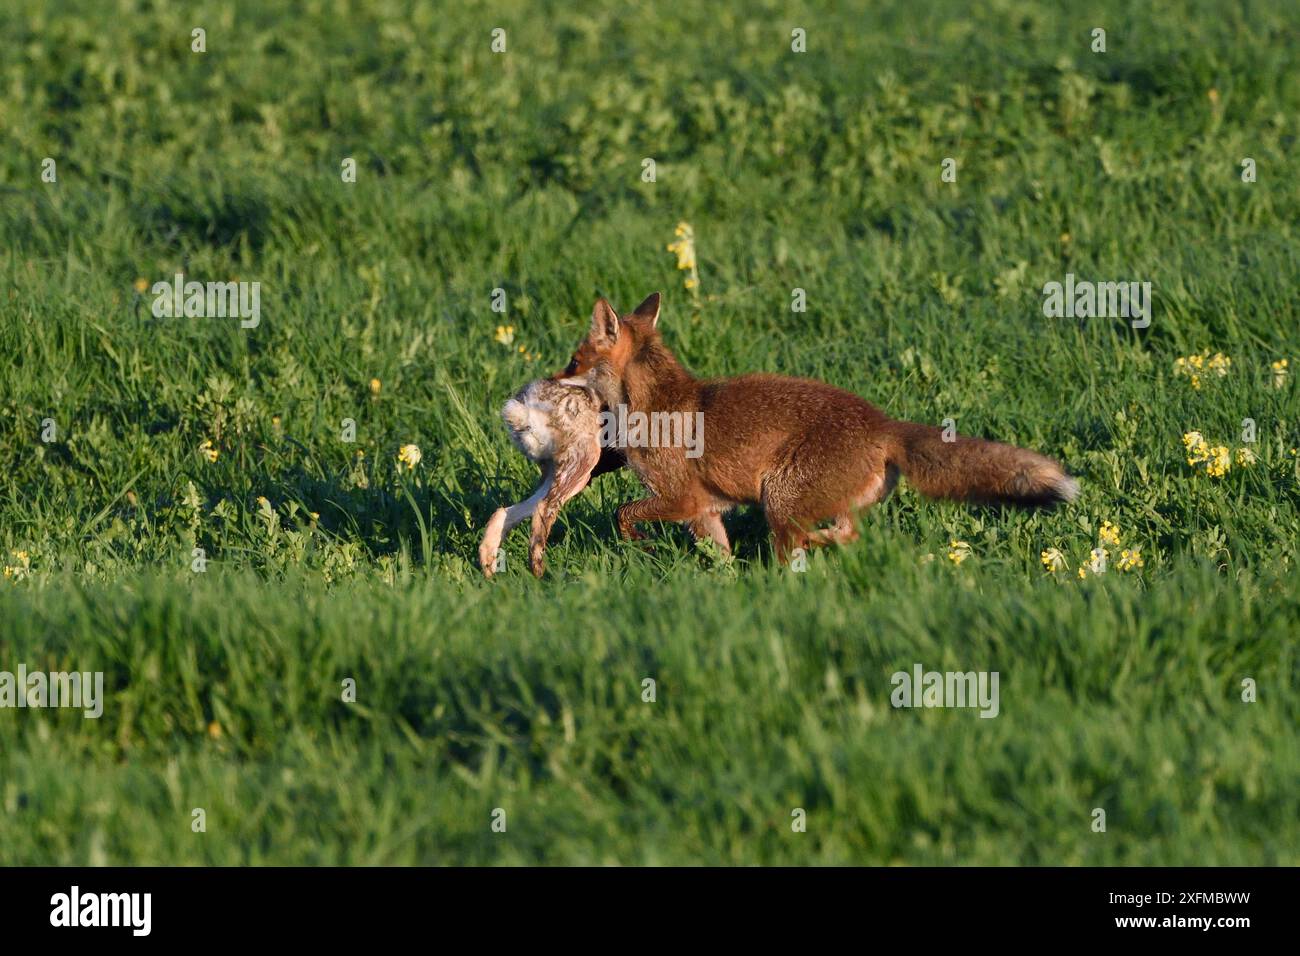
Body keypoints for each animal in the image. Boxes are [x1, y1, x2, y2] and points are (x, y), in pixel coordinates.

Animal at [554, 292, 1078, 563]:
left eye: (572, 362)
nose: (549, 380)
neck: (654, 405)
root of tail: (883, 423)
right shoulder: (706, 511)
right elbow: (721, 559)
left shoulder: (679, 498)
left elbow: (622, 512)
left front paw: (636, 543)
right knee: (849, 534)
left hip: (779, 501)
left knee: (813, 540)